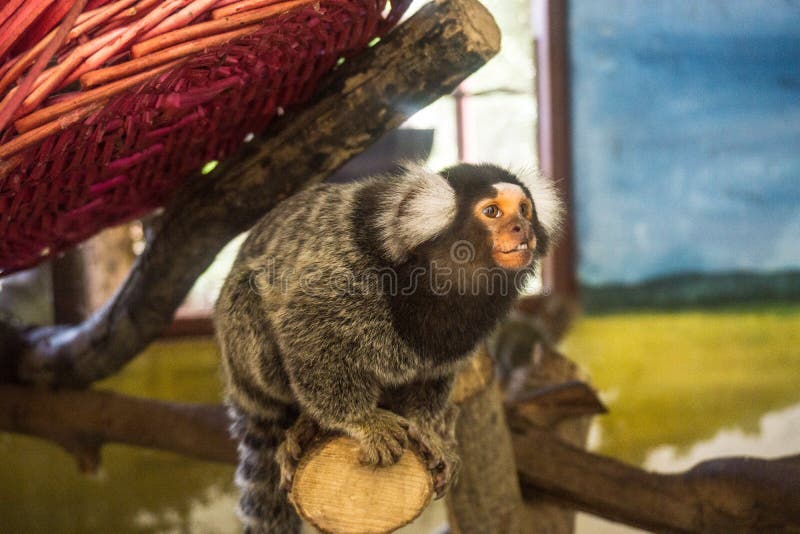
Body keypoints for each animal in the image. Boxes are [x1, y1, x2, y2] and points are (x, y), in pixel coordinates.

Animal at [214, 162, 562, 533]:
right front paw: (363, 420)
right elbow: (305, 329)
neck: (436, 278)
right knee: (251, 297)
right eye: (492, 212)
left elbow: (432, 376)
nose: (522, 229)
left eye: (524, 210)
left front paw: (427, 429)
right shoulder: (346, 276)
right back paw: (304, 422)